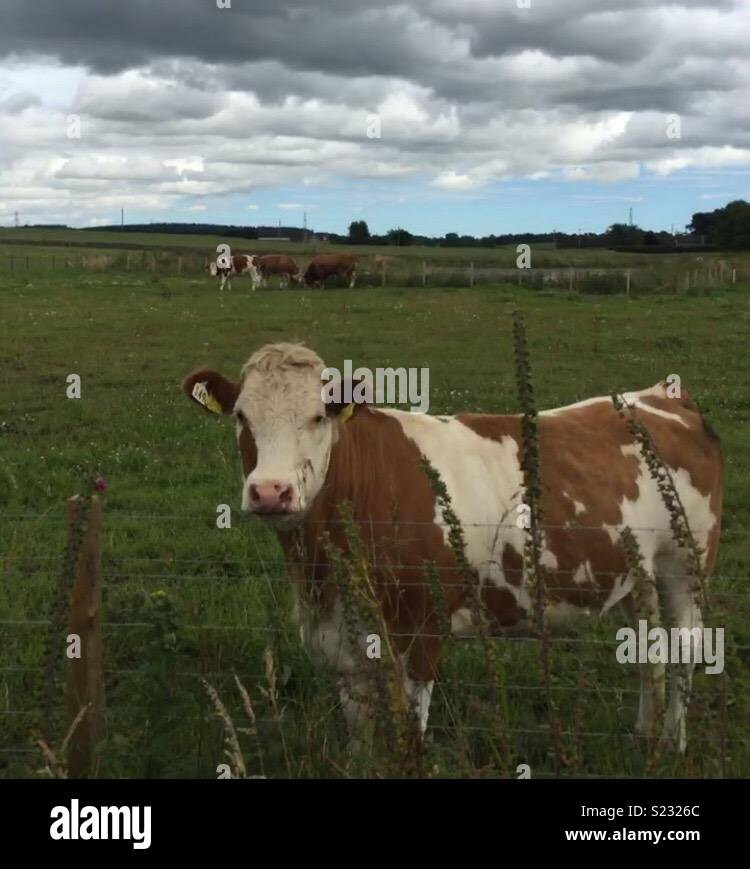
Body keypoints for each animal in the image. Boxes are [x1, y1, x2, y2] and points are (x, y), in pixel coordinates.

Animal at [182, 343, 722, 754]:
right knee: (649, 648)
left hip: (685, 565)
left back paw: (672, 744)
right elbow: (359, 731)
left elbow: (410, 734)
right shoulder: (343, 641)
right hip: (637, 574)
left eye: (317, 417)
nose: (270, 492)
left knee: (684, 647)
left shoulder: (422, 630)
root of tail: (658, 395)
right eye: (241, 417)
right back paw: (643, 737)